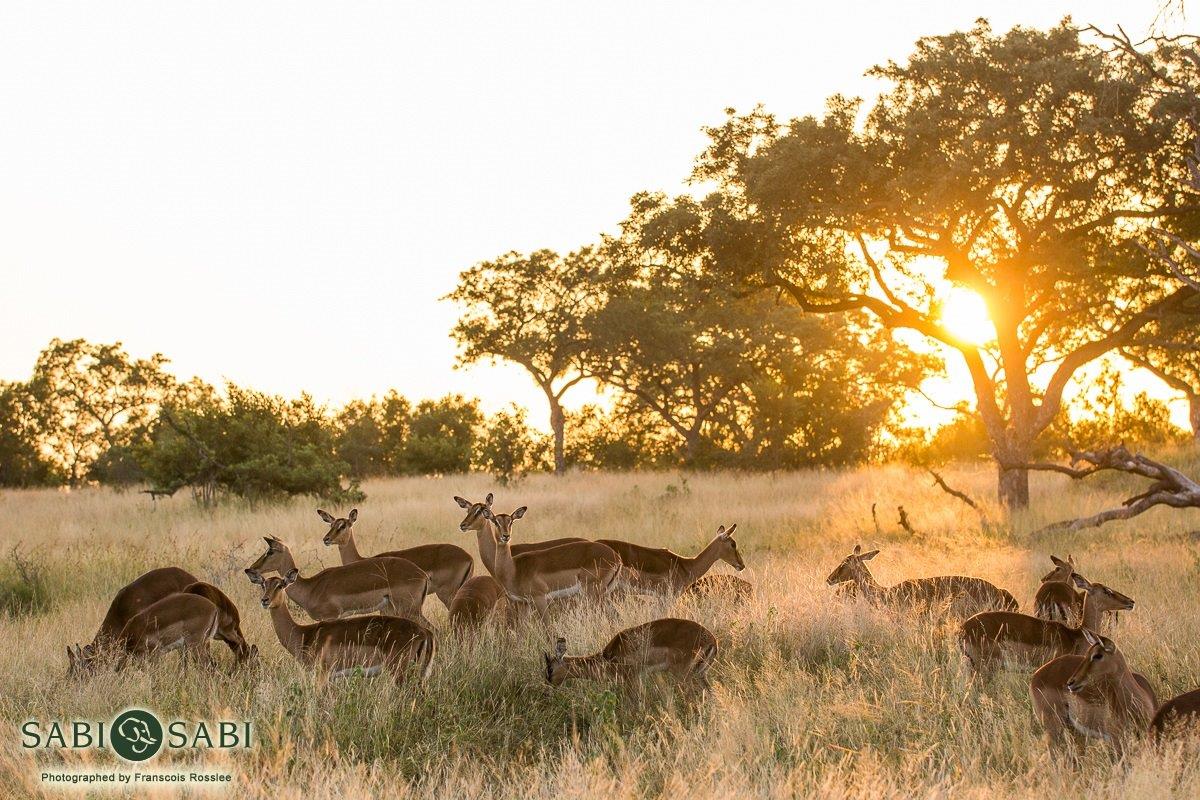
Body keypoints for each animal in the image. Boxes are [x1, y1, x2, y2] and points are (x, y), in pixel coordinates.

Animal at [244, 536, 430, 626]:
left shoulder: (331, 617)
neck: (310, 588)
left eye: (270, 551)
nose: (251, 568)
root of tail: (422, 574)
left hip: (410, 610)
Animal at [258, 573, 435, 684]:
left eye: (280, 585)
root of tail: (424, 632)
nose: (265, 600)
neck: (303, 634)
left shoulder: (322, 675)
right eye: (263, 584)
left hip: (399, 672)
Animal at [317, 508, 473, 609]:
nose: (326, 539)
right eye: (331, 524)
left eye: (343, 525)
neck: (360, 559)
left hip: (446, 594)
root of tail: (469, 557)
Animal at [485, 506, 621, 615]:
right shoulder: (523, 603)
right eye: (495, 521)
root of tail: (616, 557)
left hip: (592, 594)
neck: (514, 569)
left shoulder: (540, 598)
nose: (505, 536)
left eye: (511, 521)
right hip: (604, 594)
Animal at [543, 618, 717, 694]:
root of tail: (712, 640)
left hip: (683, 675)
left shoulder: (632, 678)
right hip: (700, 674)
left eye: (550, 669)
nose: (547, 688)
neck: (607, 658)